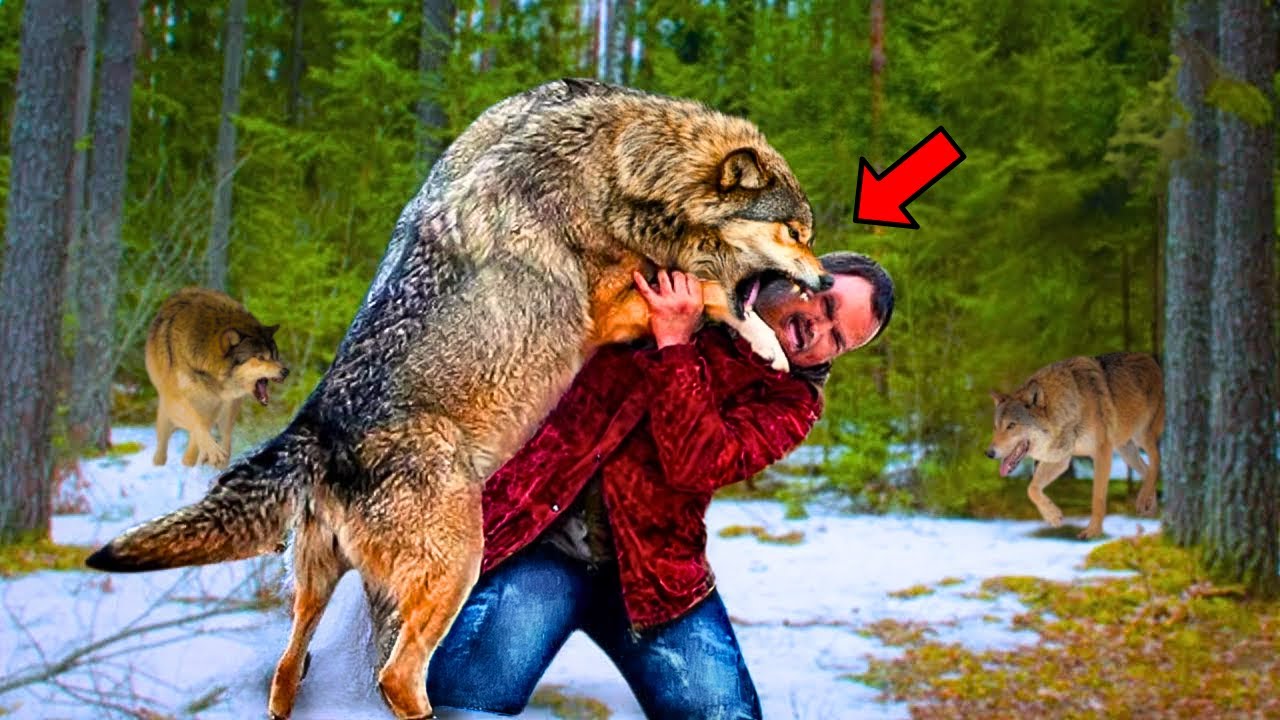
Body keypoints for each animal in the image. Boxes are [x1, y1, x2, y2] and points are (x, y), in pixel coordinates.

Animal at [145, 287, 289, 469]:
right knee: (164, 443)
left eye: (275, 355)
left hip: (223, 408)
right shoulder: (175, 400)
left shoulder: (220, 403)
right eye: (260, 358)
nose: (286, 371)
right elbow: (197, 424)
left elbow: (208, 431)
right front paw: (212, 453)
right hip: (167, 412)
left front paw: (210, 458)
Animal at [986, 352, 1164, 539]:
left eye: (1011, 425)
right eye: (995, 427)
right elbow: (1032, 489)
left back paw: (1144, 500)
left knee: (1157, 460)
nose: (989, 453)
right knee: (1147, 469)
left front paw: (1093, 532)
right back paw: (1149, 507)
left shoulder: (1102, 452)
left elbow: (1097, 497)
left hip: (1141, 436)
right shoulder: (1061, 459)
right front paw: (1053, 516)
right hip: (1125, 451)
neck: (1070, 409)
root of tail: (1151, 359)